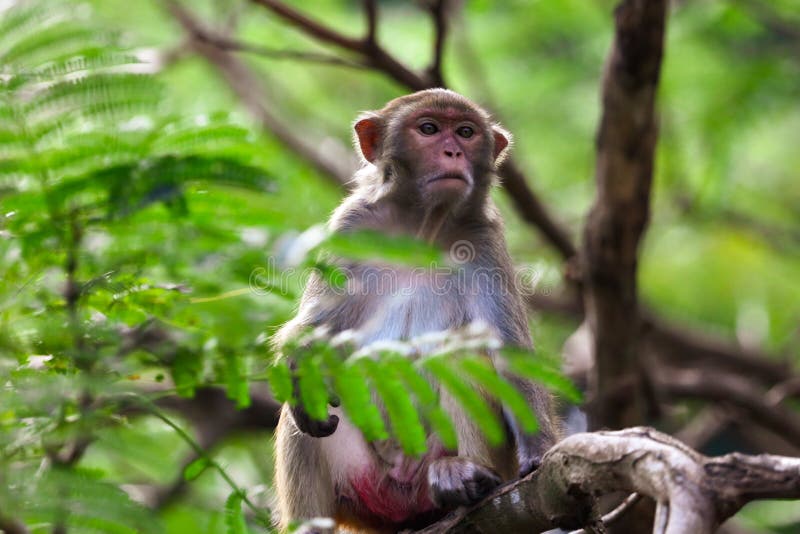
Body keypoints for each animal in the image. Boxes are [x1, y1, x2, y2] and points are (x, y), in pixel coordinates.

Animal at [273, 89, 560, 533]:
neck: (422, 230)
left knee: (464, 360)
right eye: (428, 129)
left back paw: (462, 474)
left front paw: (539, 450)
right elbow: (313, 332)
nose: (453, 151)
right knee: (302, 414)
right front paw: (302, 371)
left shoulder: (485, 239)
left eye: (466, 132)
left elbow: (508, 354)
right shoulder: (352, 225)